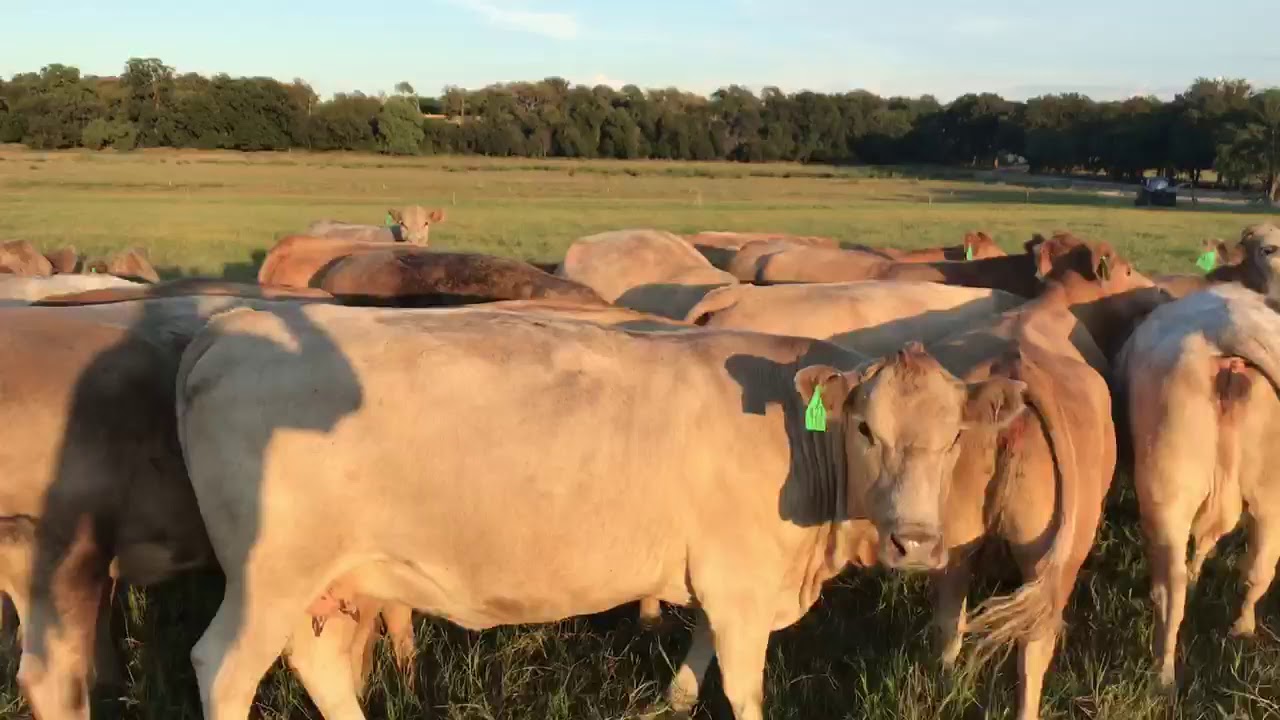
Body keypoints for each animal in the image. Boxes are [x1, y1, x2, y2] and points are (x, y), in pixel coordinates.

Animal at [176, 306, 1028, 720]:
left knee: (320, 667)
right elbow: (743, 687)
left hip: (341, 580)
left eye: (955, 436)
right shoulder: (743, 582)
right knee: (223, 669)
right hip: (271, 577)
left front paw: (671, 701)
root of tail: (233, 326)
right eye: (864, 429)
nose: (914, 542)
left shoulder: (716, 575)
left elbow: (699, 648)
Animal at [1118, 227, 1280, 688]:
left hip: (1166, 489)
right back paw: (1241, 629)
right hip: (1270, 493)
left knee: (1170, 586)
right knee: (1259, 566)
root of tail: (1230, 334)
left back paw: (1162, 673)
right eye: (1267, 249)